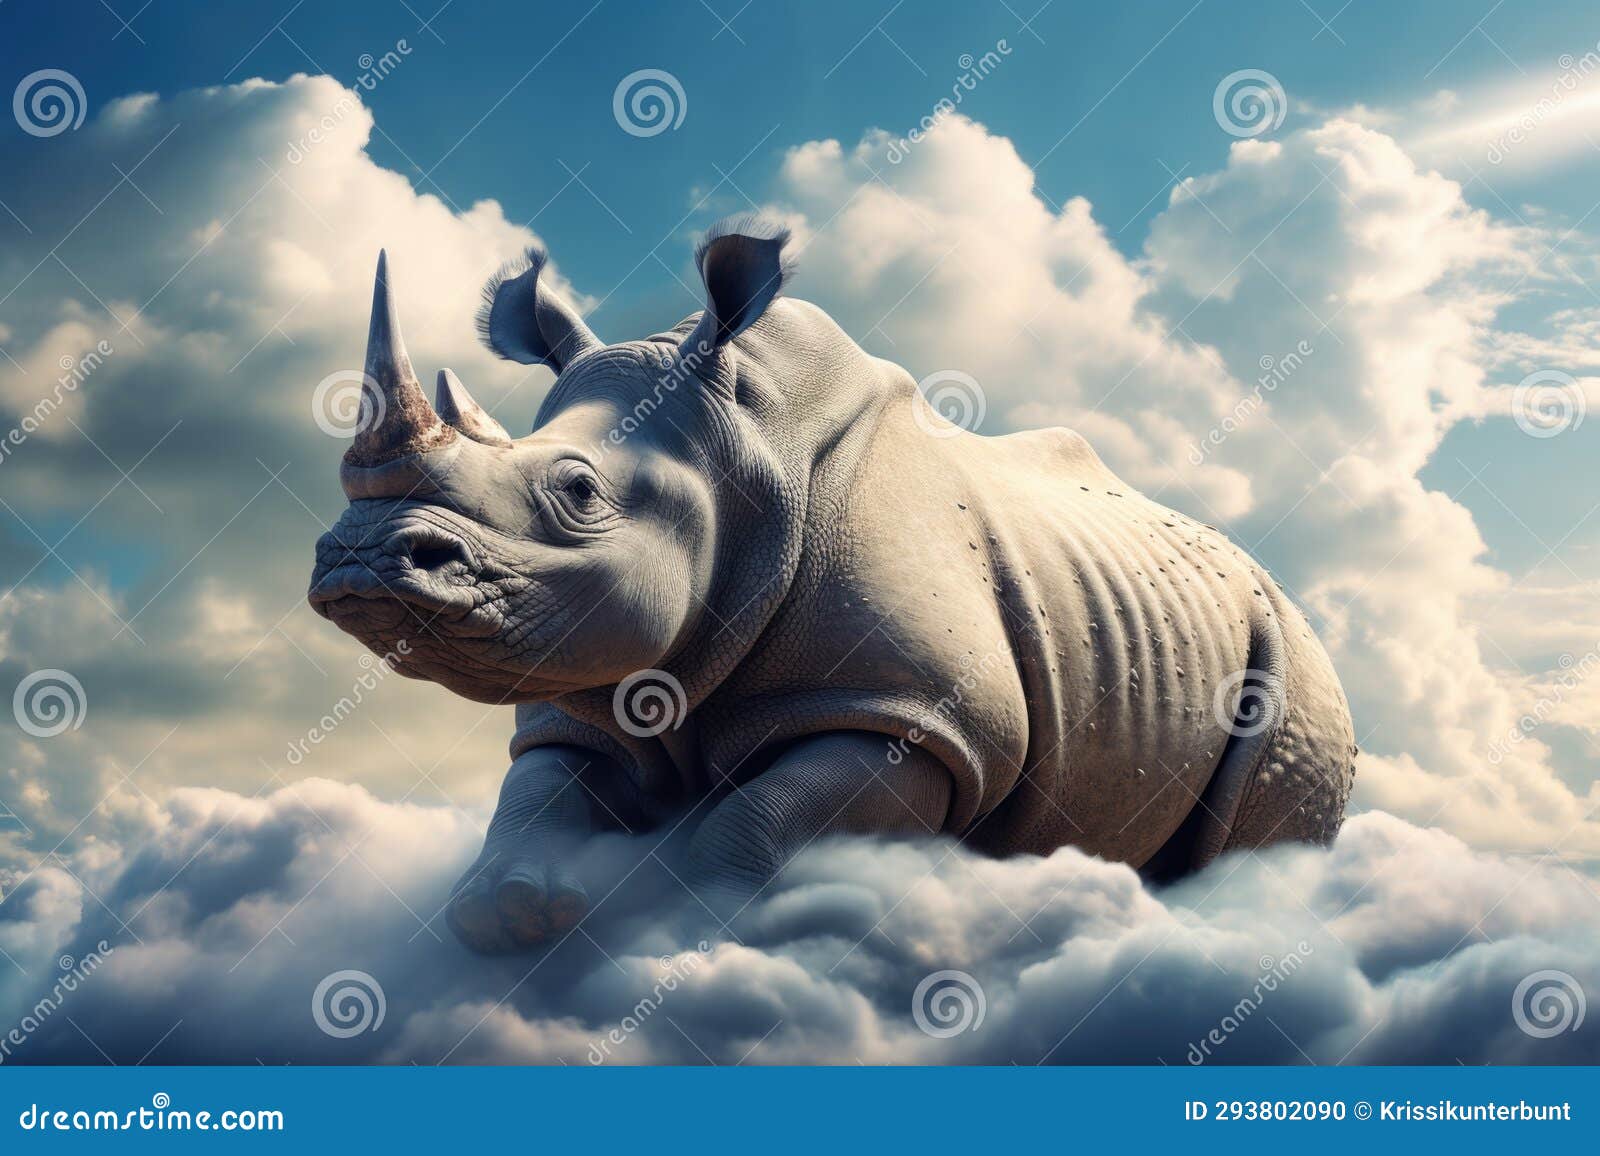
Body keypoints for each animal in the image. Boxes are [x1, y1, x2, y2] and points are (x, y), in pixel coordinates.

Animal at [307, 220, 1356, 953]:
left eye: (576, 492)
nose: (360, 557)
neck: (745, 452)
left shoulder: (916, 717)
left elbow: (756, 824)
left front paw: (686, 933)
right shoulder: (585, 698)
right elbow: (533, 804)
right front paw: (513, 916)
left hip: (1294, 664)